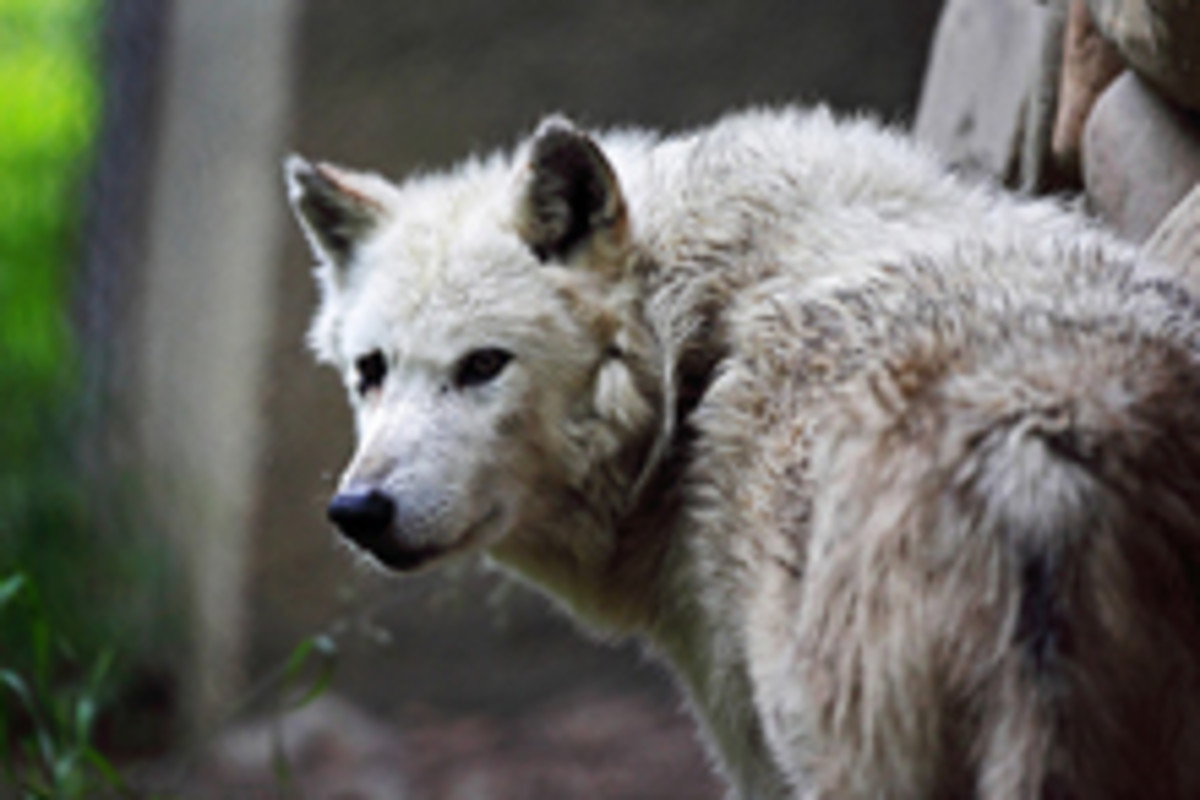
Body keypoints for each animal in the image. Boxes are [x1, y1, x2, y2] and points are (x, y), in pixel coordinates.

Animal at [286, 107, 1200, 799]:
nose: (358, 510)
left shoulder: (747, 736)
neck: (687, 349)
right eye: (371, 371)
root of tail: (1040, 457)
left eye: (482, 365)